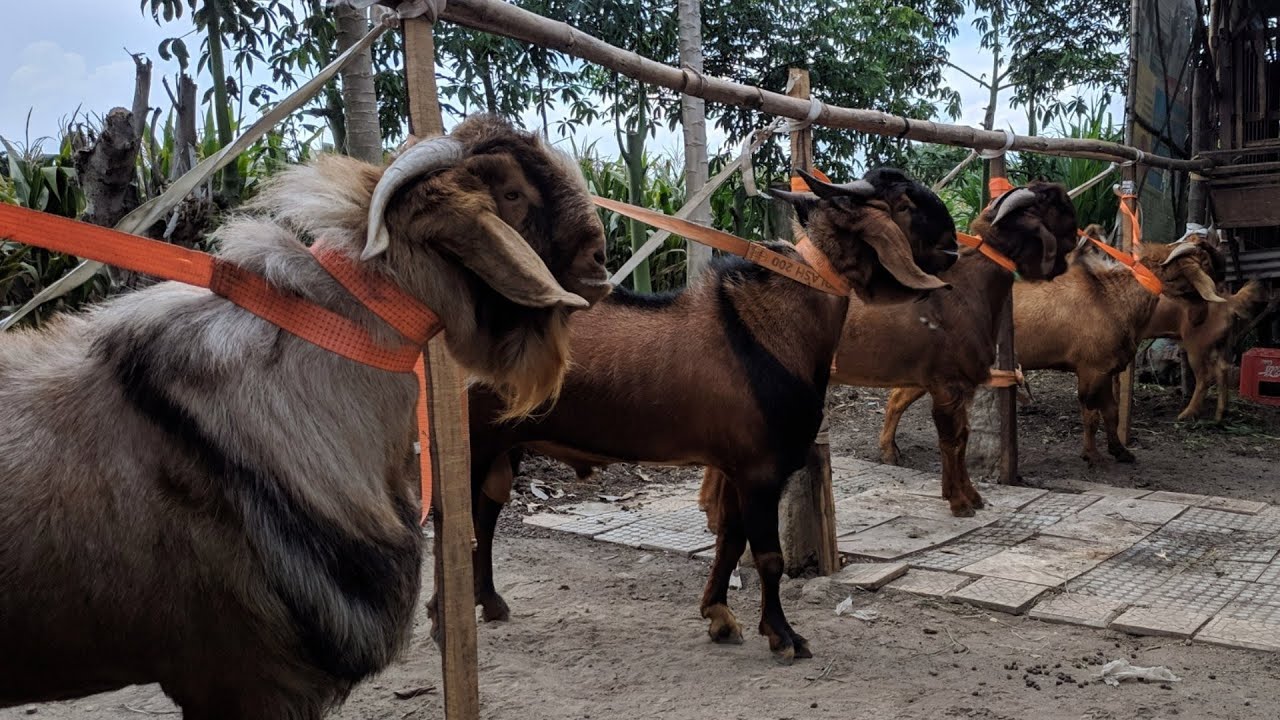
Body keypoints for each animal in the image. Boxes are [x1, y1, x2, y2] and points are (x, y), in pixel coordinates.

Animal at [435, 168, 959, 664]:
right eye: (905, 203)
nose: (953, 246)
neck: (776, 327)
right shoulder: (761, 468)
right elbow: (768, 556)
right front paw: (784, 636)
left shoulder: (733, 464)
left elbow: (729, 540)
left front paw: (719, 616)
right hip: (473, 442)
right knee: (455, 526)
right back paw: (444, 618)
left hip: (508, 443)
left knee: (486, 515)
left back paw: (490, 603)